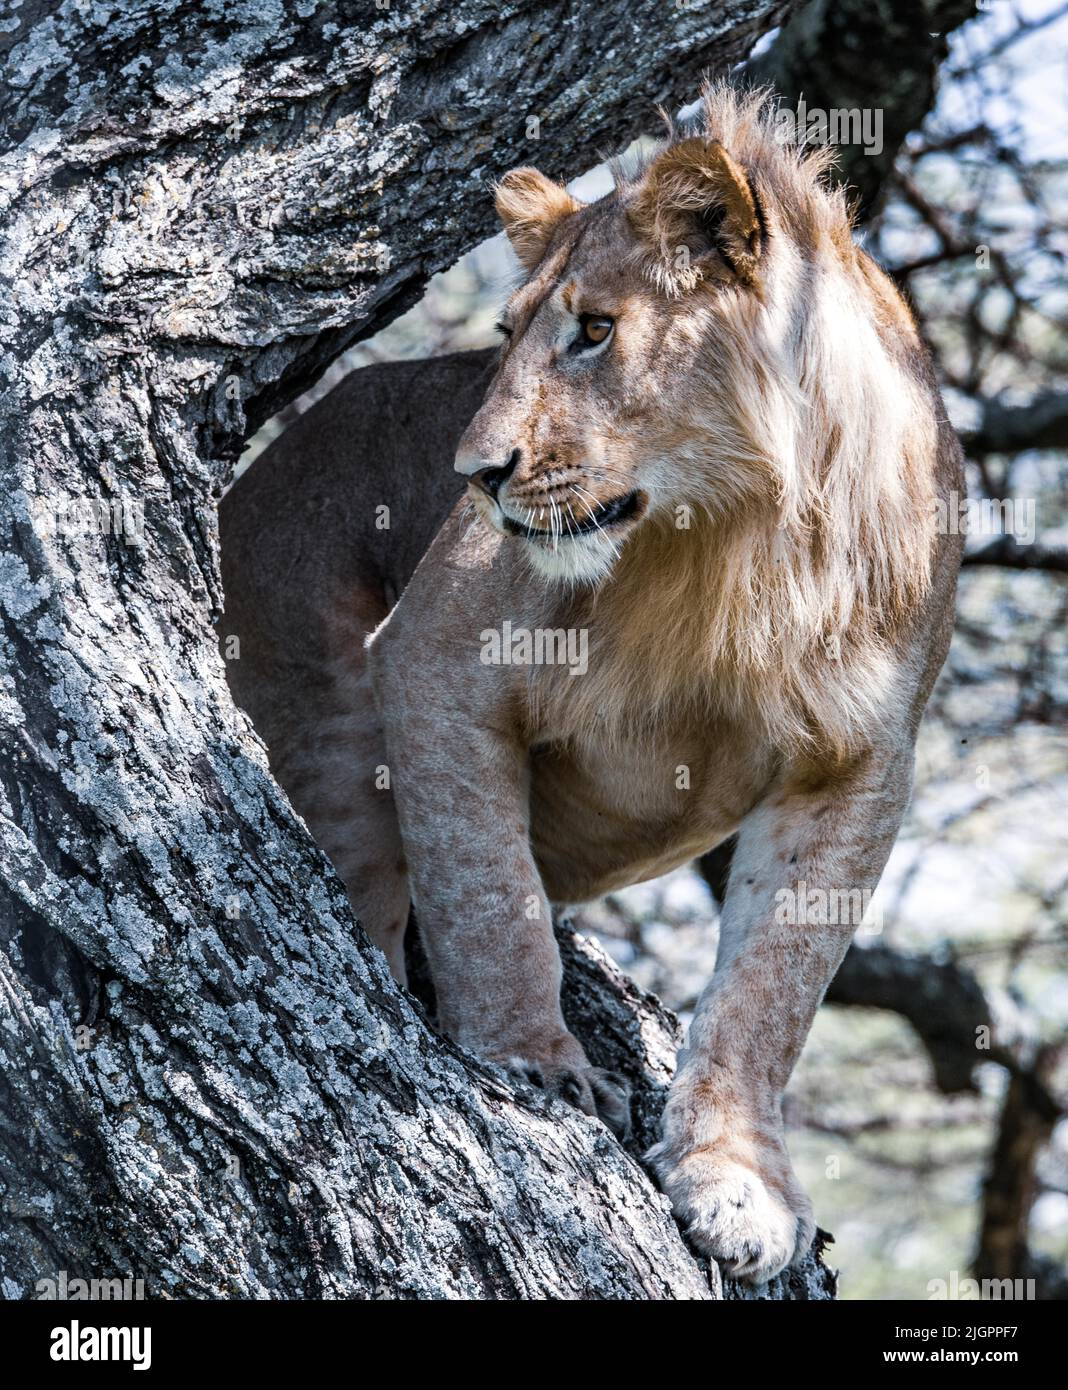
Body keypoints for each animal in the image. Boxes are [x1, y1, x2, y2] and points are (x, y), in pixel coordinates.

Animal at [220, 85, 963, 1283]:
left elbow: (773, 990)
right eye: (506, 335)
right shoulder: (436, 650)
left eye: (597, 330)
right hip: (325, 711)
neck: (734, 545)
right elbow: (491, 896)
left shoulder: (860, 763)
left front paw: (742, 1187)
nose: (474, 477)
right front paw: (532, 1065)